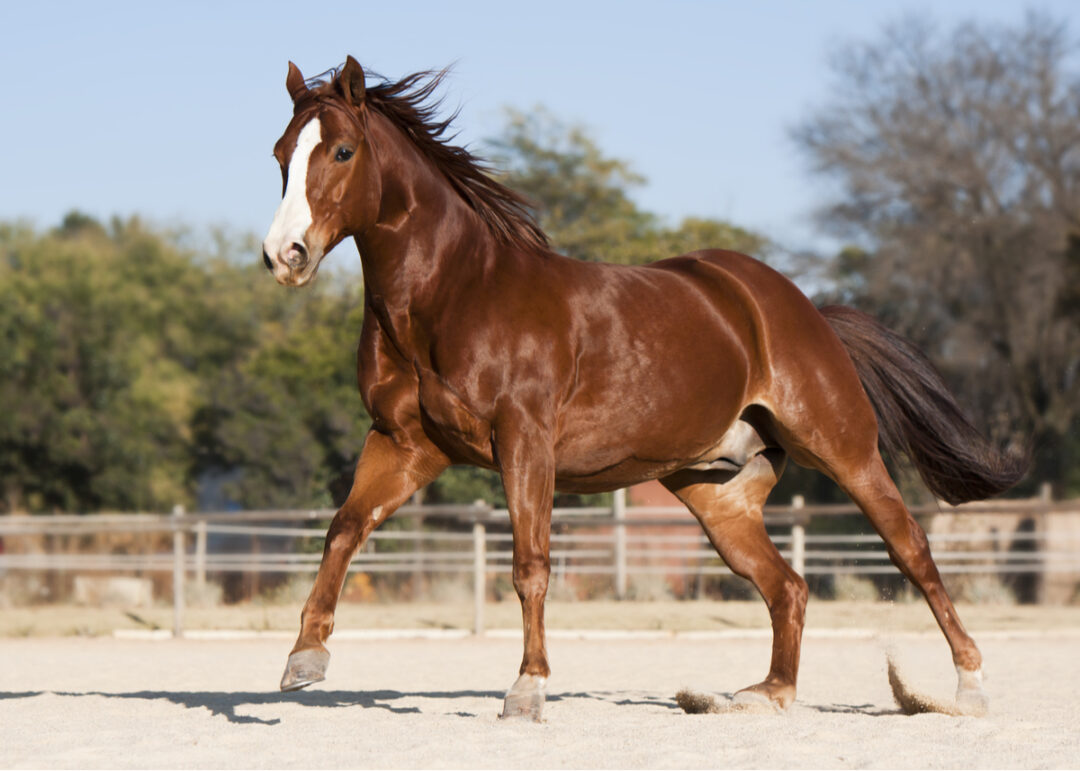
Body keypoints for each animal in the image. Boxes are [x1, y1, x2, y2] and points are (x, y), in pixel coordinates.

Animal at [261, 56, 1025, 721]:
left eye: (342, 152)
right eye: (280, 155)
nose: (284, 255)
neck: (455, 293)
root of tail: (799, 308)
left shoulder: (523, 442)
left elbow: (530, 564)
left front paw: (527, 690)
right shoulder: (405, 444)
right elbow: (344, 528)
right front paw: (304, 658)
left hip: (844, 449)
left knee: (910, 550)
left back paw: (969, 688)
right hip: (717, 497)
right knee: (789, 586)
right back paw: (767, 695)